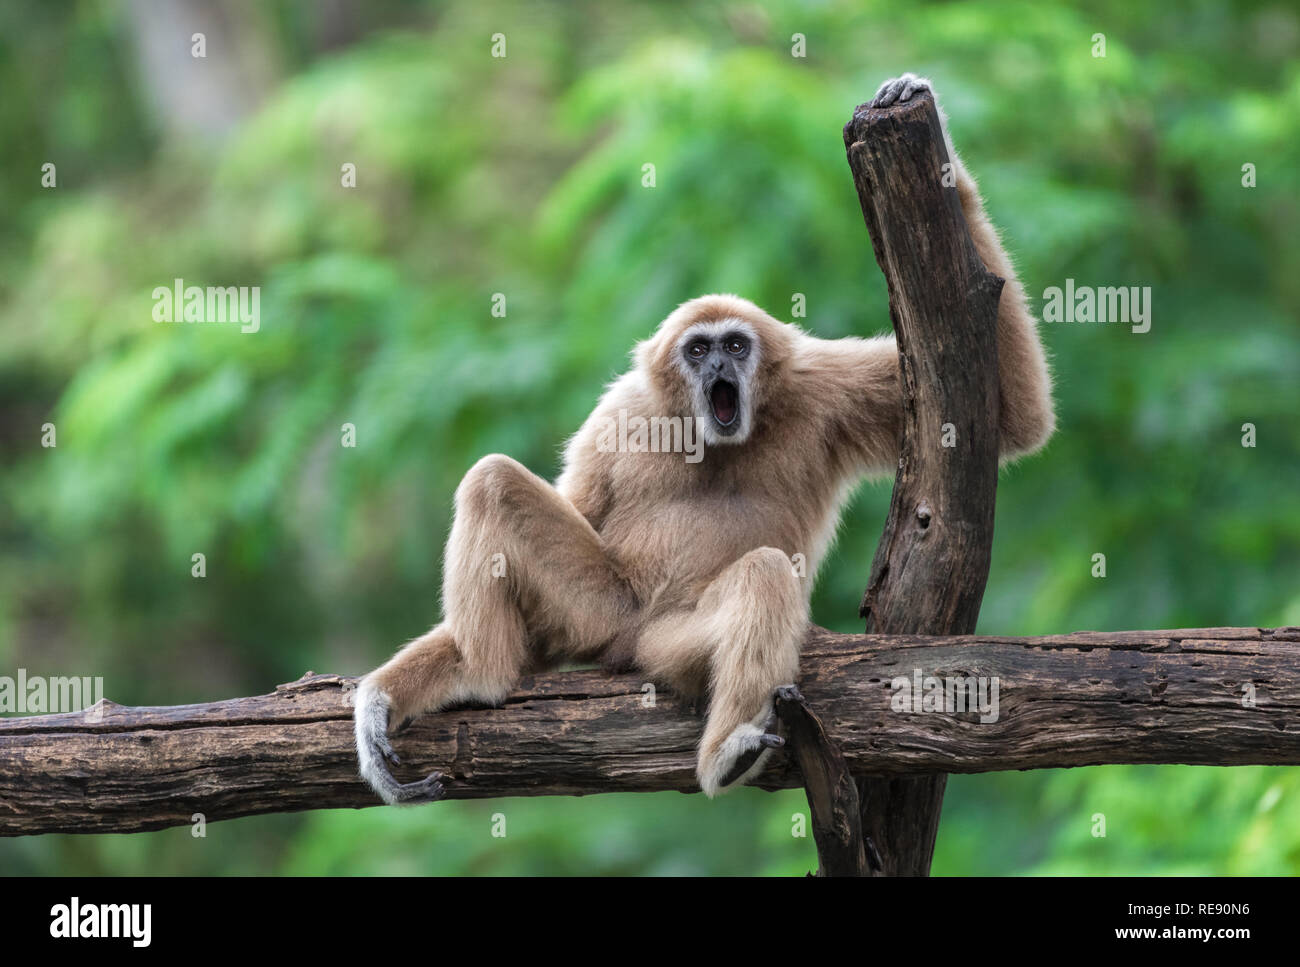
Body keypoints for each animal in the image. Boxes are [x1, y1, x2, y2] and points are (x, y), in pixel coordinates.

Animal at [354, 73, 1055, 803]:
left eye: (736, 345)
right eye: (697, 350)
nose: (718, 365)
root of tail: (632, 640)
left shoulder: (820, 387)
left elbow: (1014, 420)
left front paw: (931, 122)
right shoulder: (620, 412)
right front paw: (382, 699)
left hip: (667, 642)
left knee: (762, 575)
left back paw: (725, 749)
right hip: (603, 608)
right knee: (493, 483)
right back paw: (479, 671)